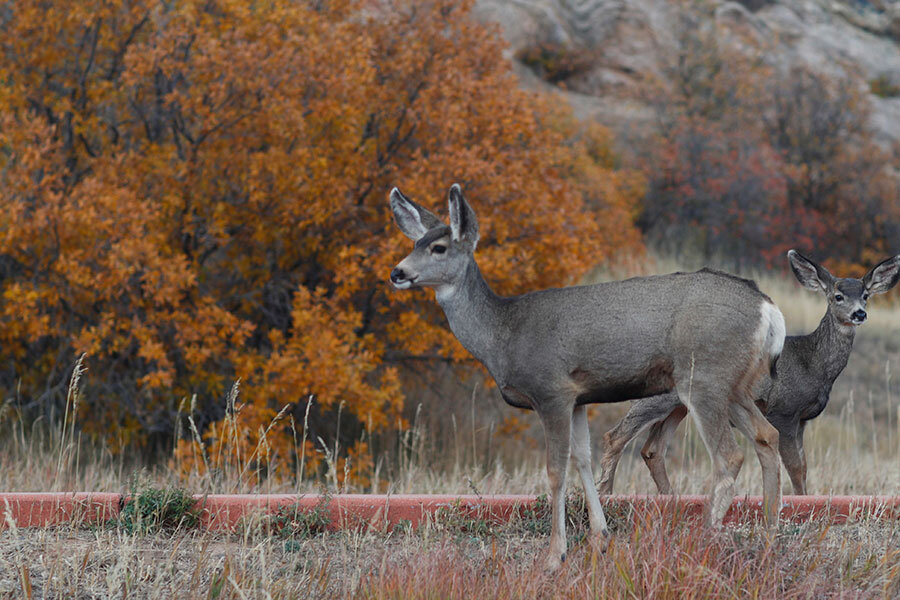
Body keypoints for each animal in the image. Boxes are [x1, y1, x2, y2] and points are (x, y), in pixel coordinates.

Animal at [388, 183, 786, 570]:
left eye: (439, 247)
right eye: (414, 244)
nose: (397, 272)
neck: (503, 335)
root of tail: (769, 309)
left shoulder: (552, 391)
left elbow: (555, 470)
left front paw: (554, 556)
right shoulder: (579, 398)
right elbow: (583, 458)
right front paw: (600, 541)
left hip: (703, 377)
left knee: (728, 456)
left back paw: (704, 539)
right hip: (734, 385)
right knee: (767, 436)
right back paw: (768, 537)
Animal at [598, 250, 900, 497]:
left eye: (865, 295)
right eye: (838, 296)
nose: (859, 314)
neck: (812, 364)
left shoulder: (802, 419)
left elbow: (803, 466)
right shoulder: (784, 411)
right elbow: (794, 467)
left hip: (679, 406)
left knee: (652, 449)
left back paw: (669, 497)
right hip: (655, 399)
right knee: (616, 436)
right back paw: (607, 494)